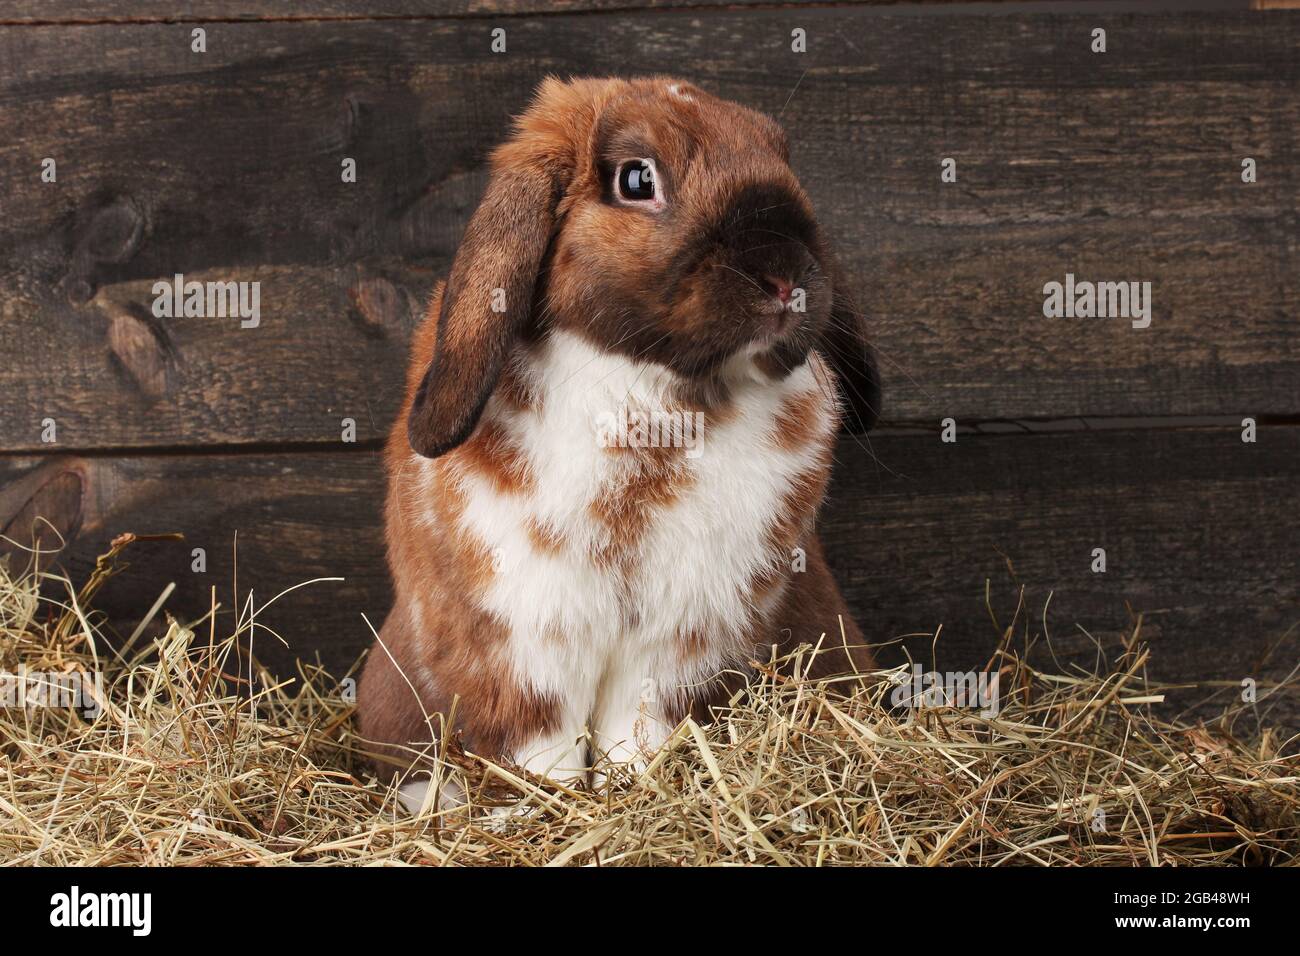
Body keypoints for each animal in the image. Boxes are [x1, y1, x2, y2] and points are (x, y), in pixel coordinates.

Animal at [358, 76, 881, 810]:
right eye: (637, 179)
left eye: (783, 159)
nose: (785, 277)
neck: (659, 400)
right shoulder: (520, 641)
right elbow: (537, 745)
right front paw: (543, 812)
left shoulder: (683, 640)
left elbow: (641, 731)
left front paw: (638, 793)